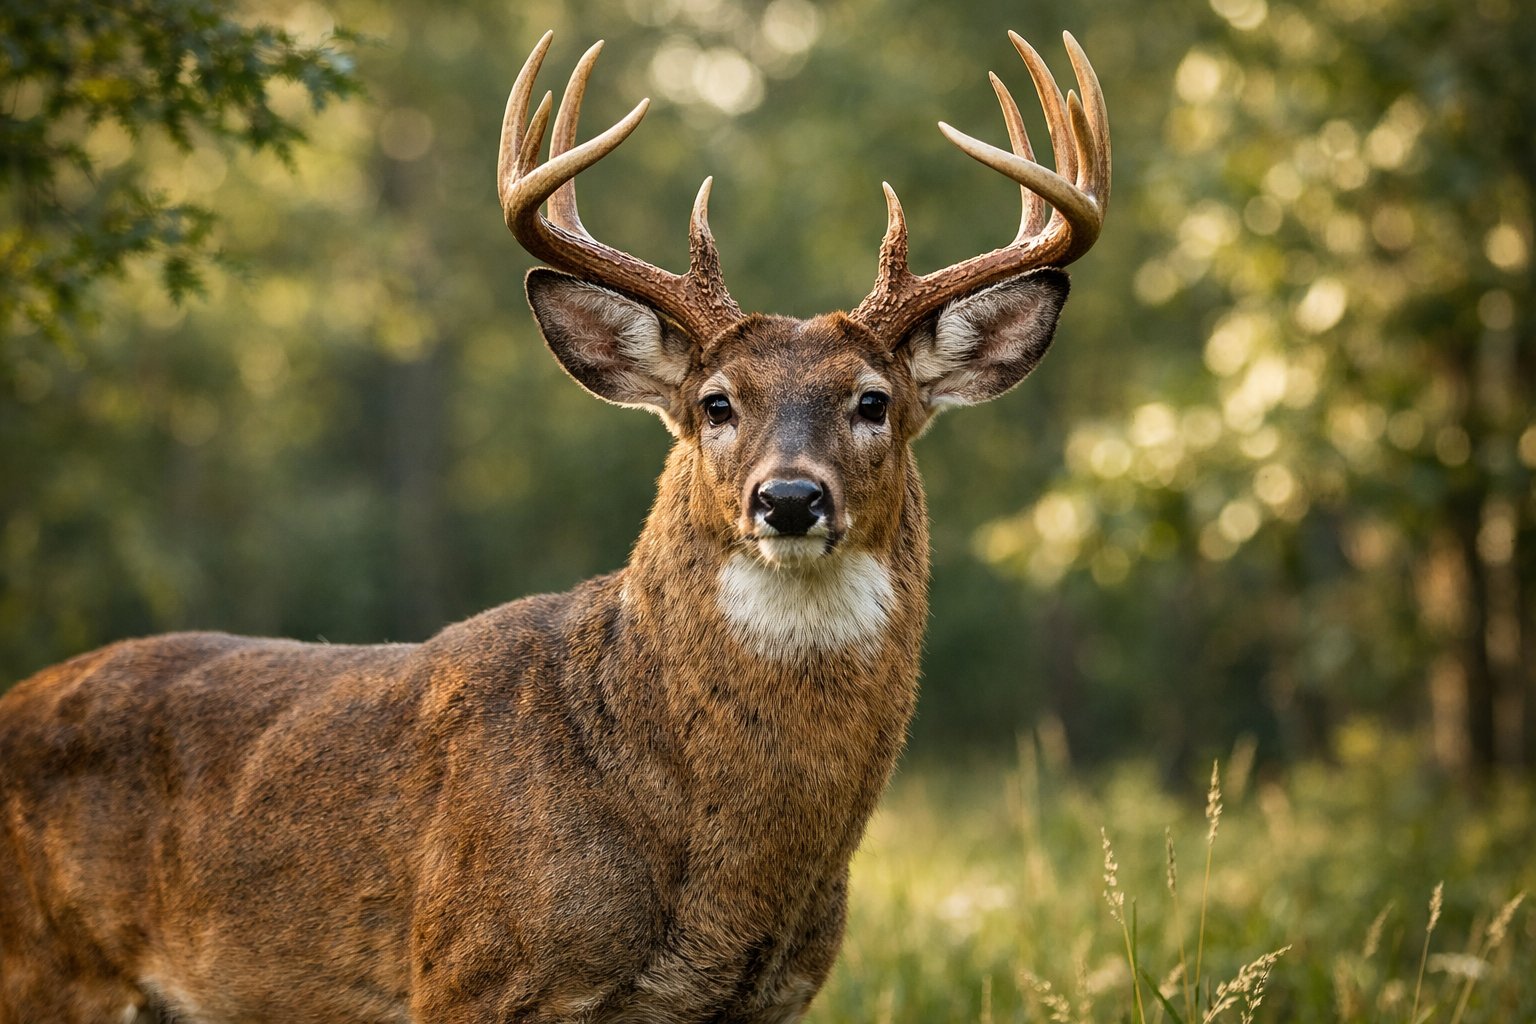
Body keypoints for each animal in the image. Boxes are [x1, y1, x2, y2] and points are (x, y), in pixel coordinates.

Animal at [0, 26, 1108, 1024]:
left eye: (873, 401)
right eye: (716, 402)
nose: (790, 499)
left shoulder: (771, 999)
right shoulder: (468, 971)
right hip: (46, 973)